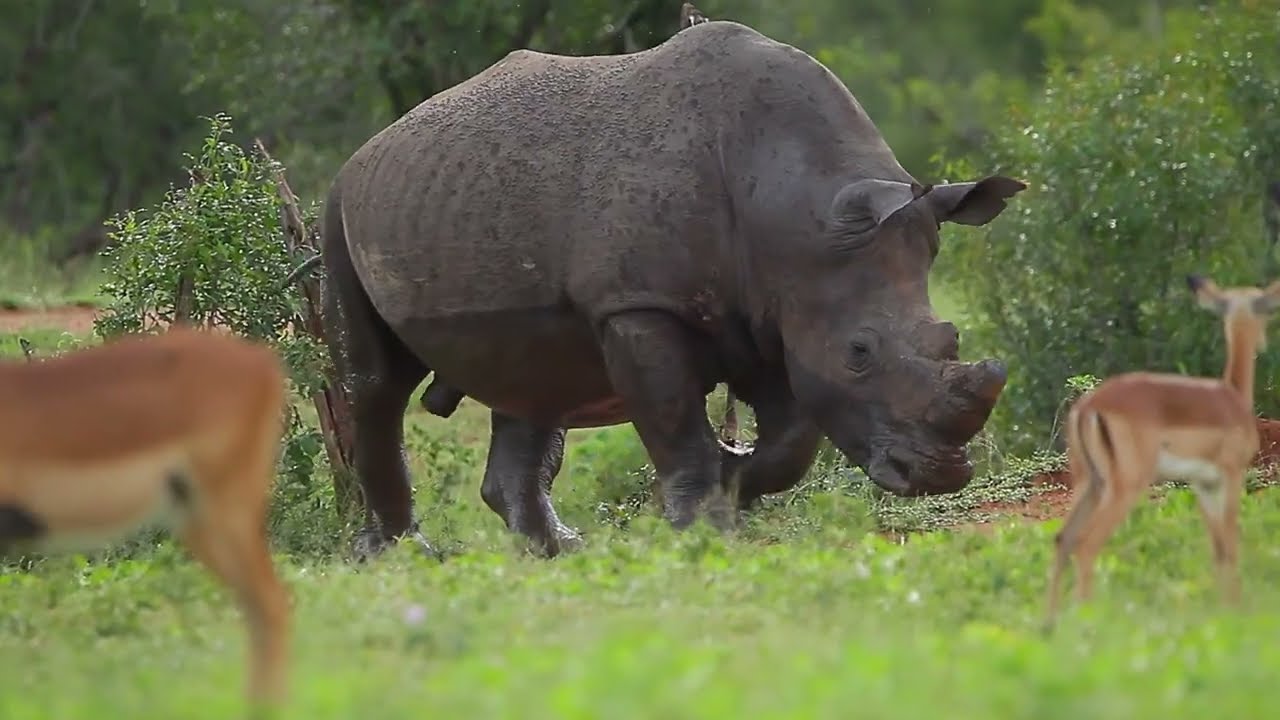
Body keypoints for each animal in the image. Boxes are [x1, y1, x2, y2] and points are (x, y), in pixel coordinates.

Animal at [319, 17, 1025, 559]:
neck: (799, 208)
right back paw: (401, 556)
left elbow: (791, 440)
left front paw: (732, 479)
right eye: (860, 352)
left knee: (534, 374)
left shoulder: (775, 310)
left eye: (951, 339)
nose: (939, 476)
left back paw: (557, 552)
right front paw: (697, 528)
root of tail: (372, 145)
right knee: (376, 384)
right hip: (340, 209)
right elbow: (676, 421)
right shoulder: (640, 306)